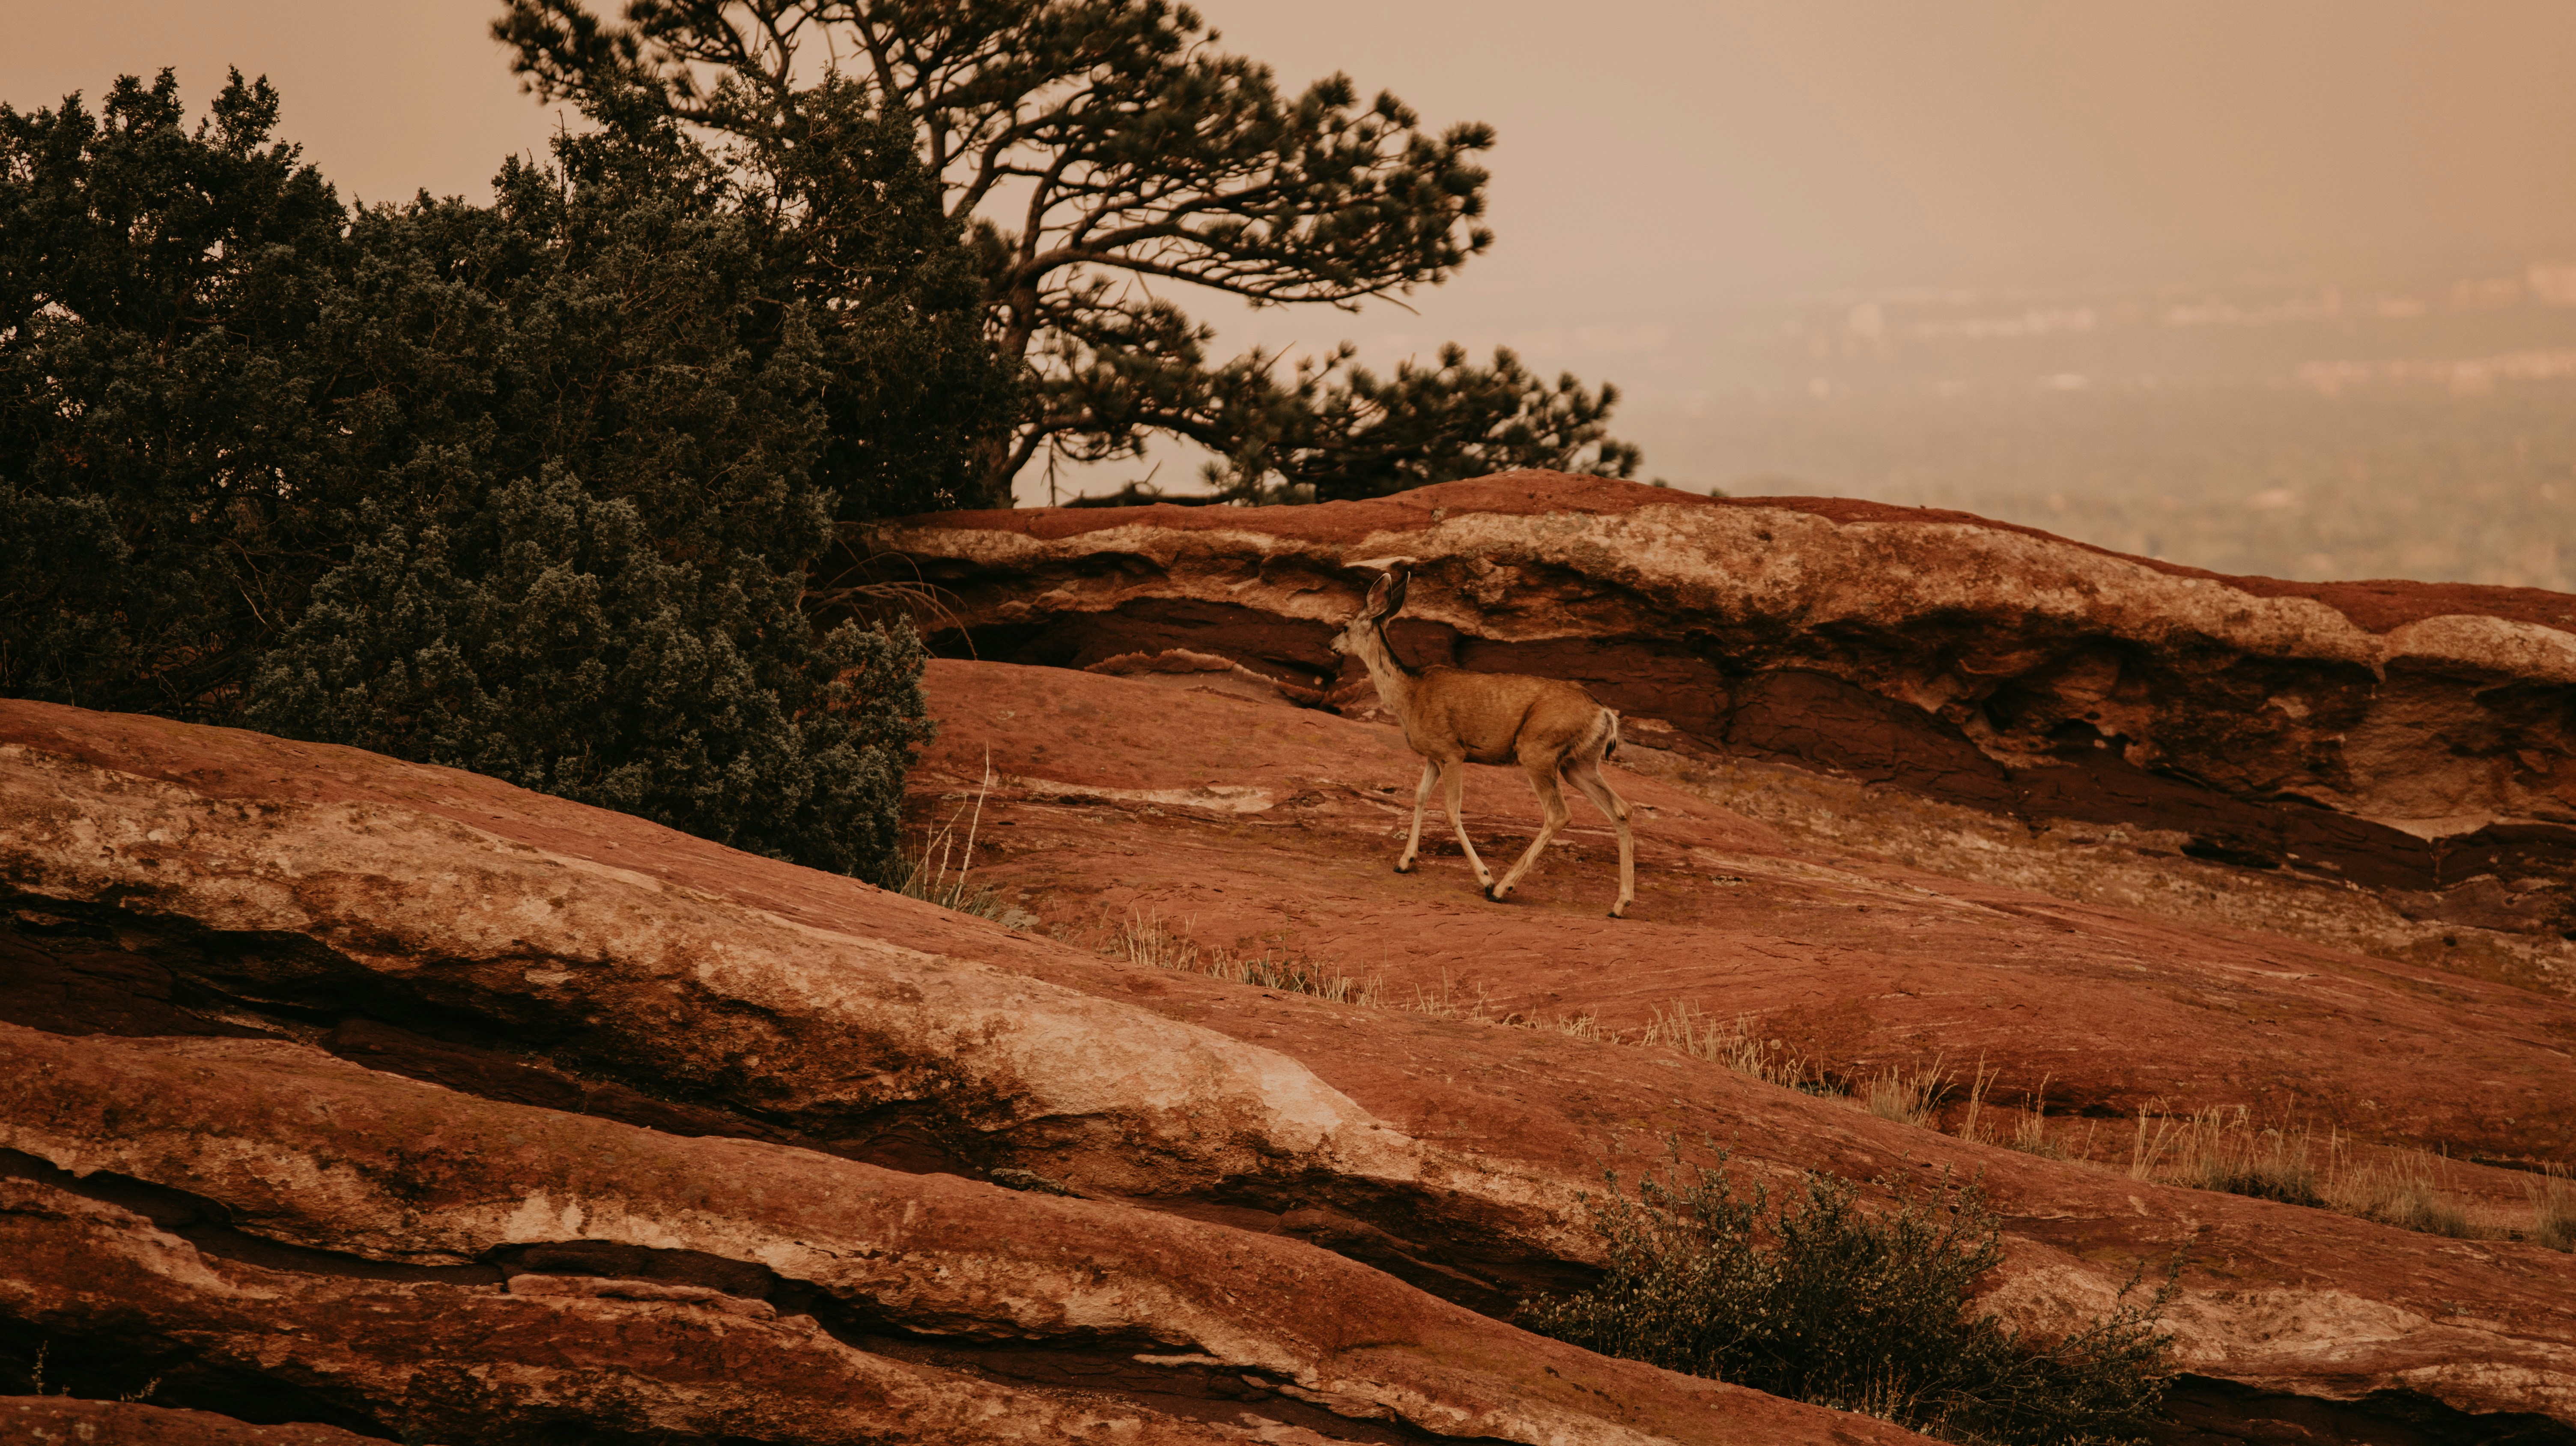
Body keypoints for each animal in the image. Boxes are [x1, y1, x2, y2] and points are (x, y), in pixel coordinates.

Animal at [1330, 568, 1636, 918]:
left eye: (1345, 626)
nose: (1331, 645)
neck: (1409, 694)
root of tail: (1605, 714)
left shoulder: (1452, 751)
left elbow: (1452, 810)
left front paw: (1485, 878)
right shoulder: (1433, 756)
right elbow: (1419, 797)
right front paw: (1405, 861)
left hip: (1538, 750)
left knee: (1559, 814)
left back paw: (1503, 888)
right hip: (1579, 763)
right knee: (1622, 809)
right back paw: (1620, 904)